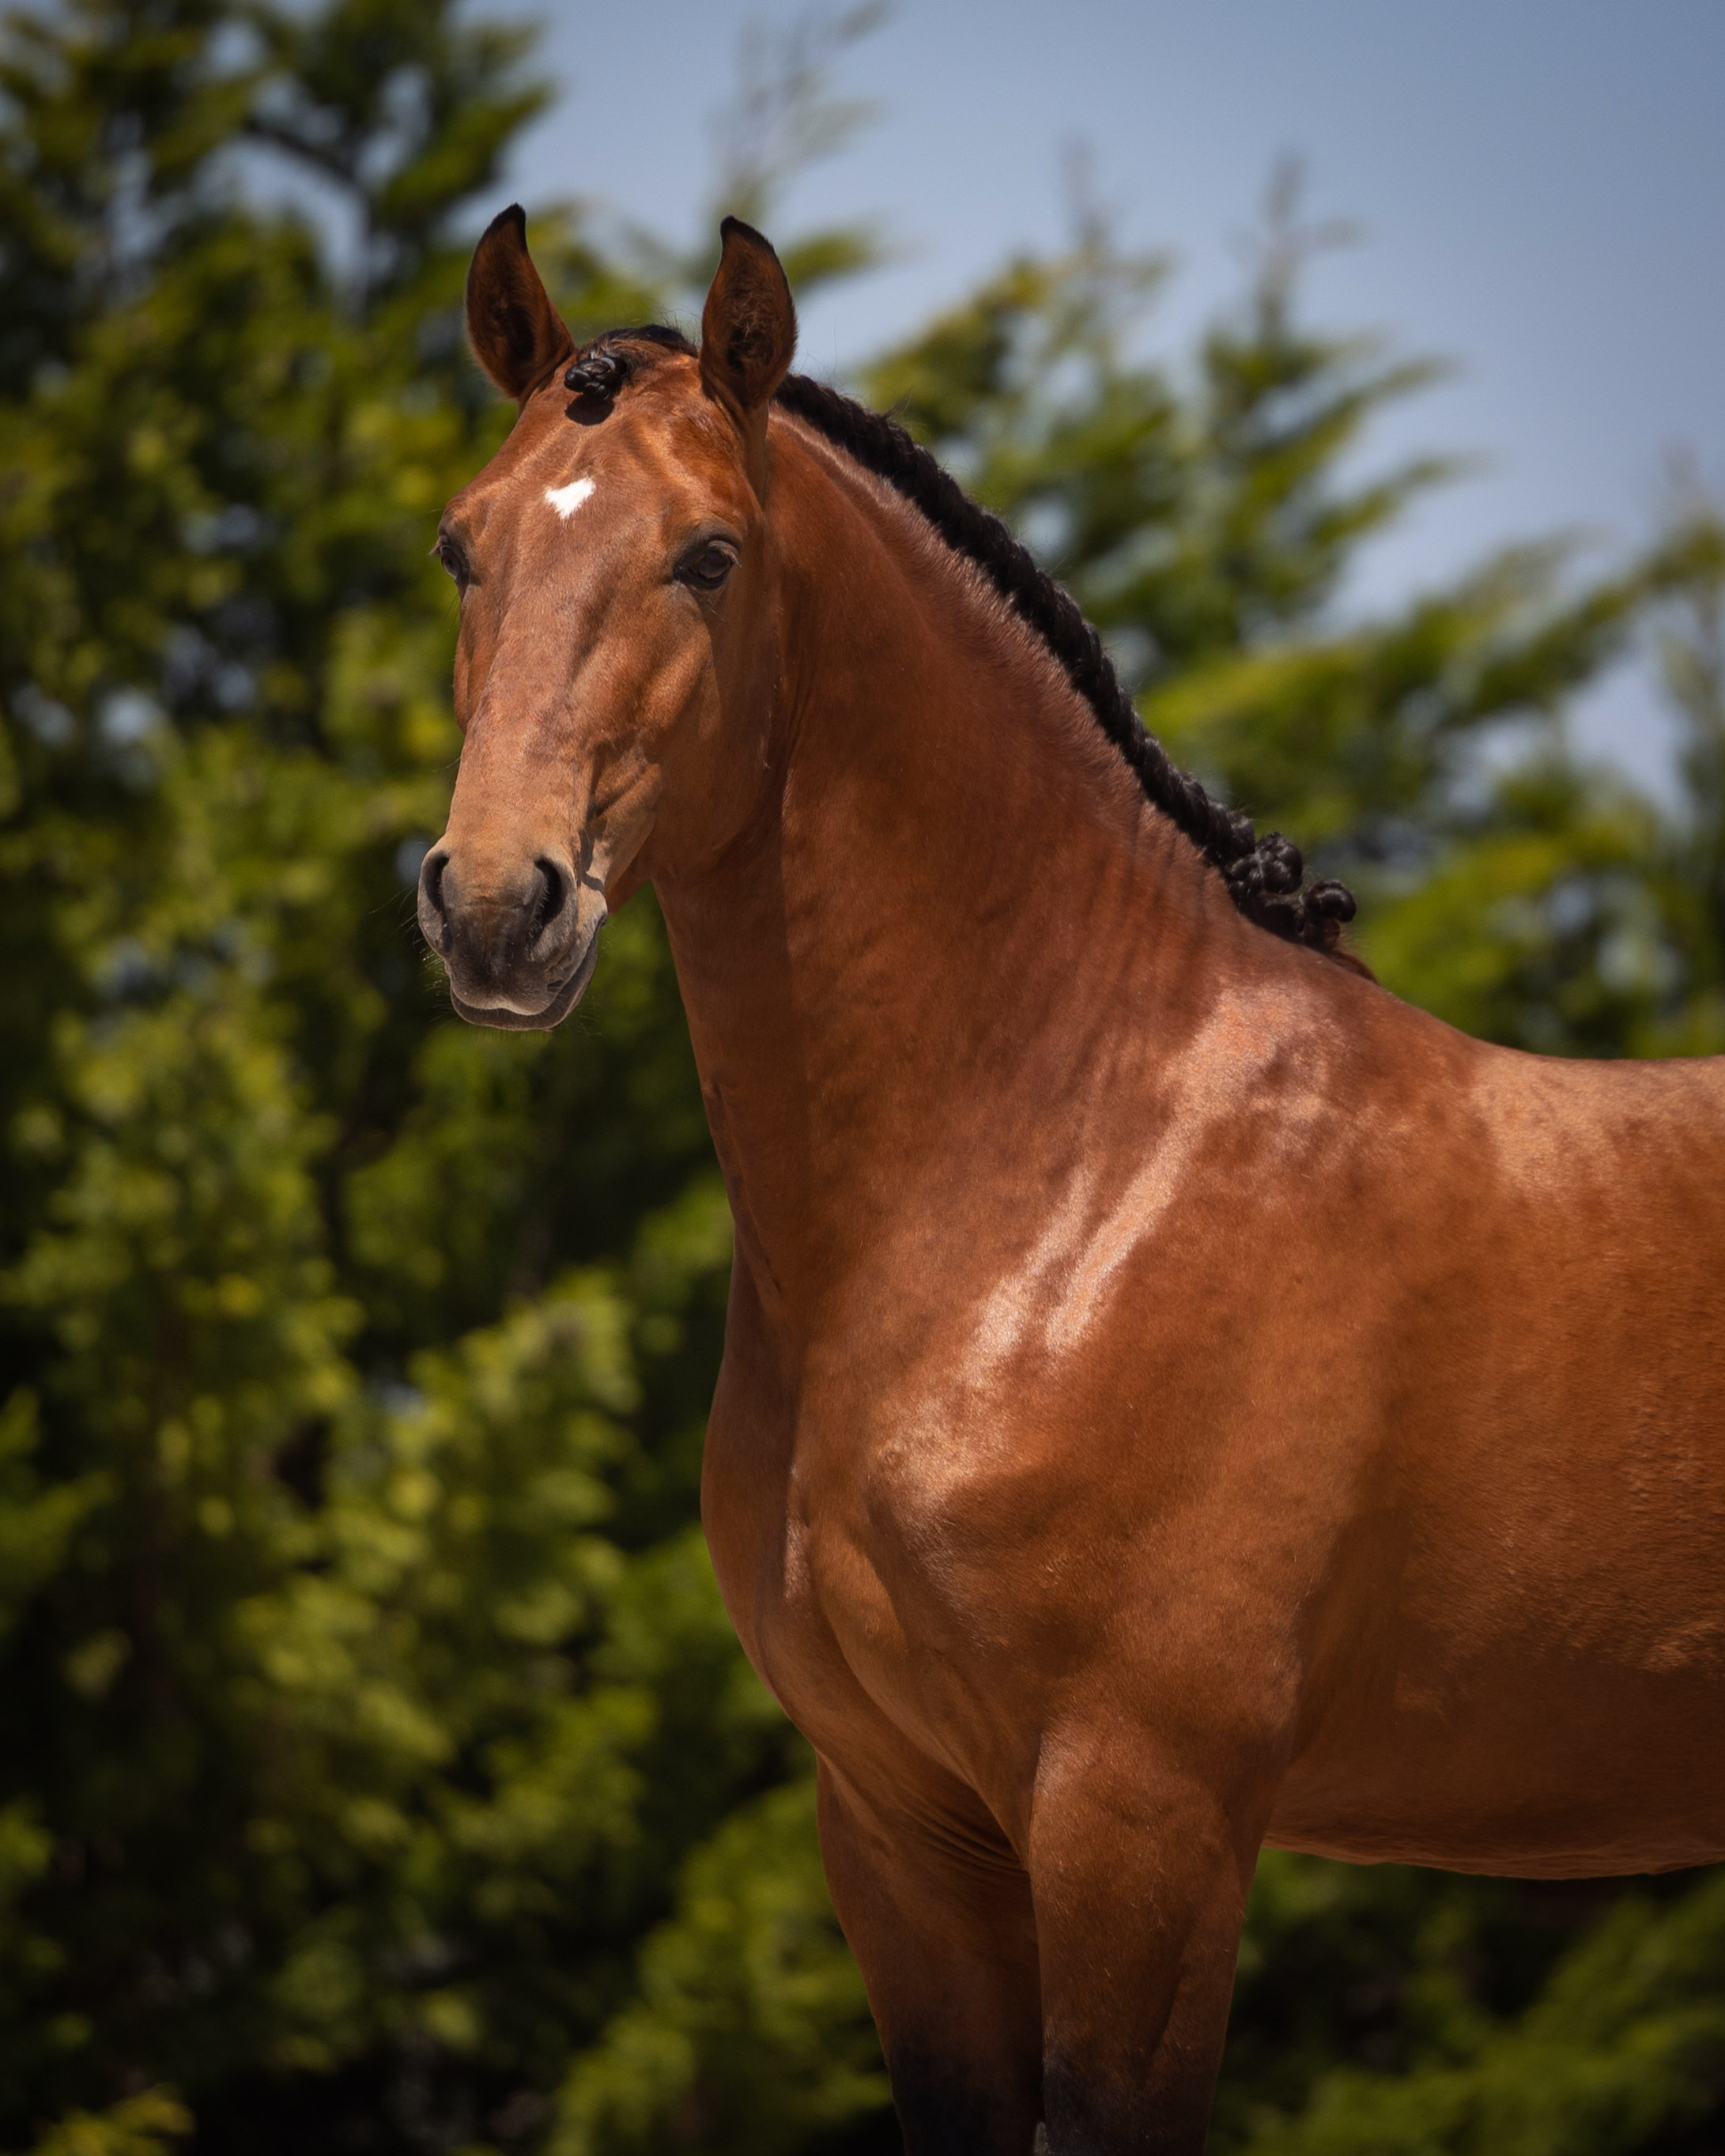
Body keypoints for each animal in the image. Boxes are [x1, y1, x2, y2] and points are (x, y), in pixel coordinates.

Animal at [418, 206, 1725, 2153]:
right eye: (463, 546)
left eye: (708, 556)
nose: (499, 908)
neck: (1072, 1177)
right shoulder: (900, 1830)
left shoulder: (1140, 1821)